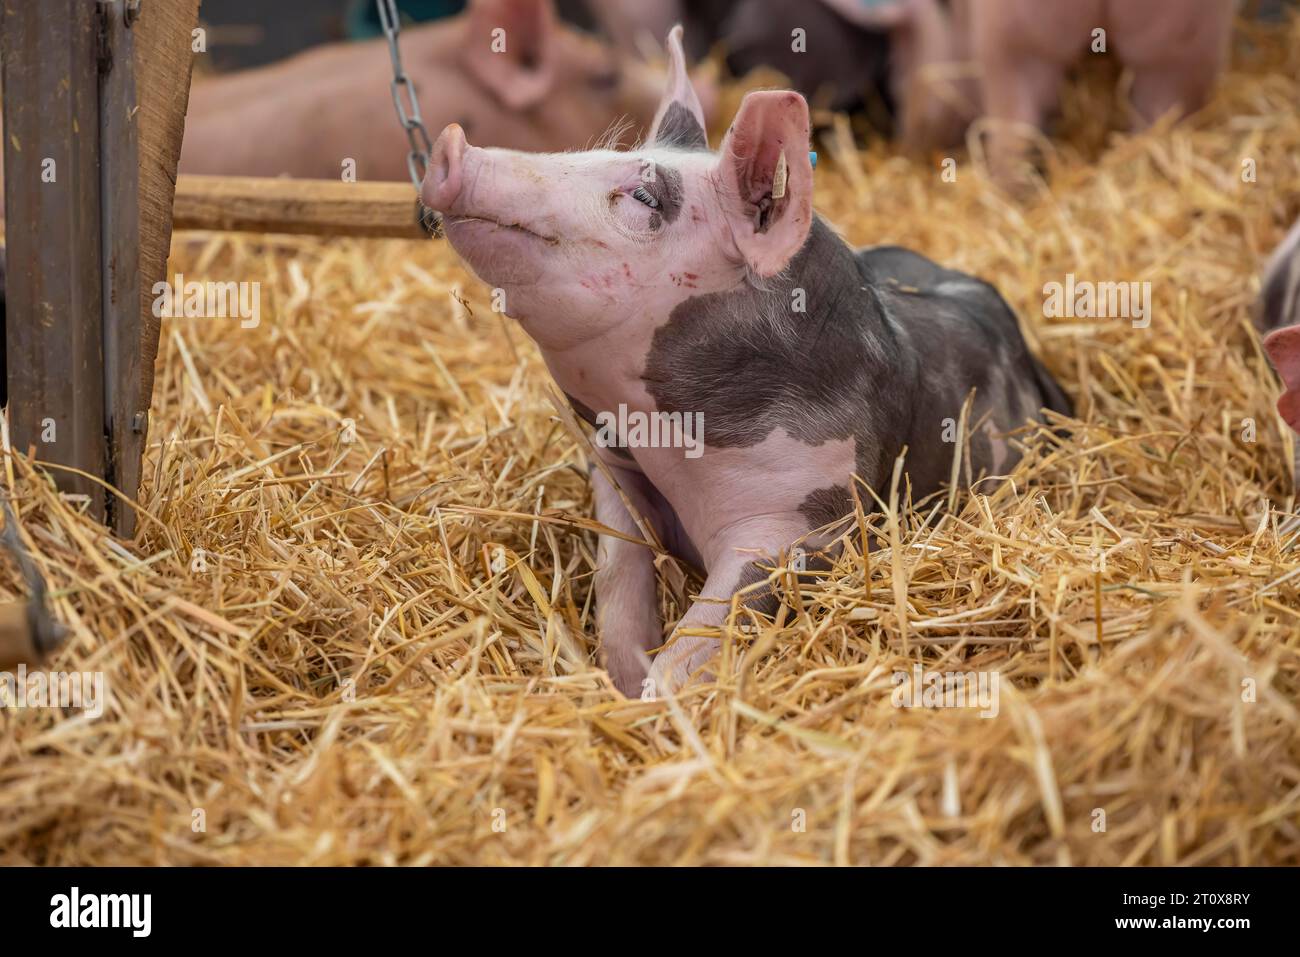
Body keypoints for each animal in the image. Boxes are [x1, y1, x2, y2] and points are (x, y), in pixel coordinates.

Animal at [422, 25, 1072, 695]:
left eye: (645, 195)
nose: (451, 143)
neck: (669, 452)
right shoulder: (615, 471)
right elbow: (618, 574)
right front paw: (624, 678)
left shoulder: (801, 518)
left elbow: (700, 640)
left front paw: (652, 696)